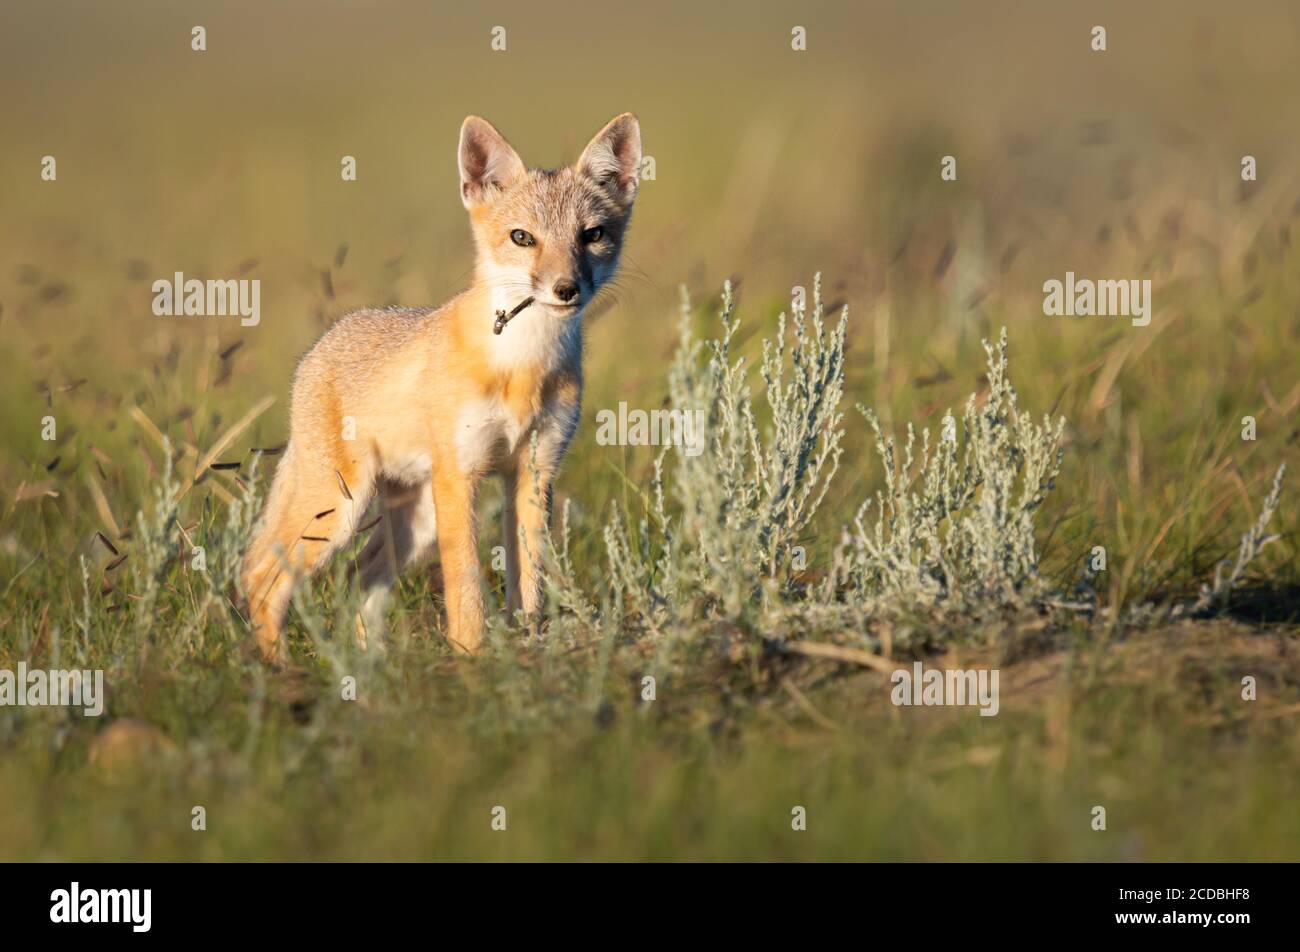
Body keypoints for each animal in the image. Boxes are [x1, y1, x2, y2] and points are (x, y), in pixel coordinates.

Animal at [241, 113, 642, 663]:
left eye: (592, 235)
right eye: (522, 237)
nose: (566, 289)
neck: (522, 367)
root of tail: (322, 344)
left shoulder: (535, 472)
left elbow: (529, 583)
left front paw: (527, 649)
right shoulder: (462, 475)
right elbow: (465, 586)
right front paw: (471, 657)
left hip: (413, 519)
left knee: (357, 577)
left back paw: (371, 664)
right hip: (341, 509)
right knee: (262, 577)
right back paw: (278, 668)